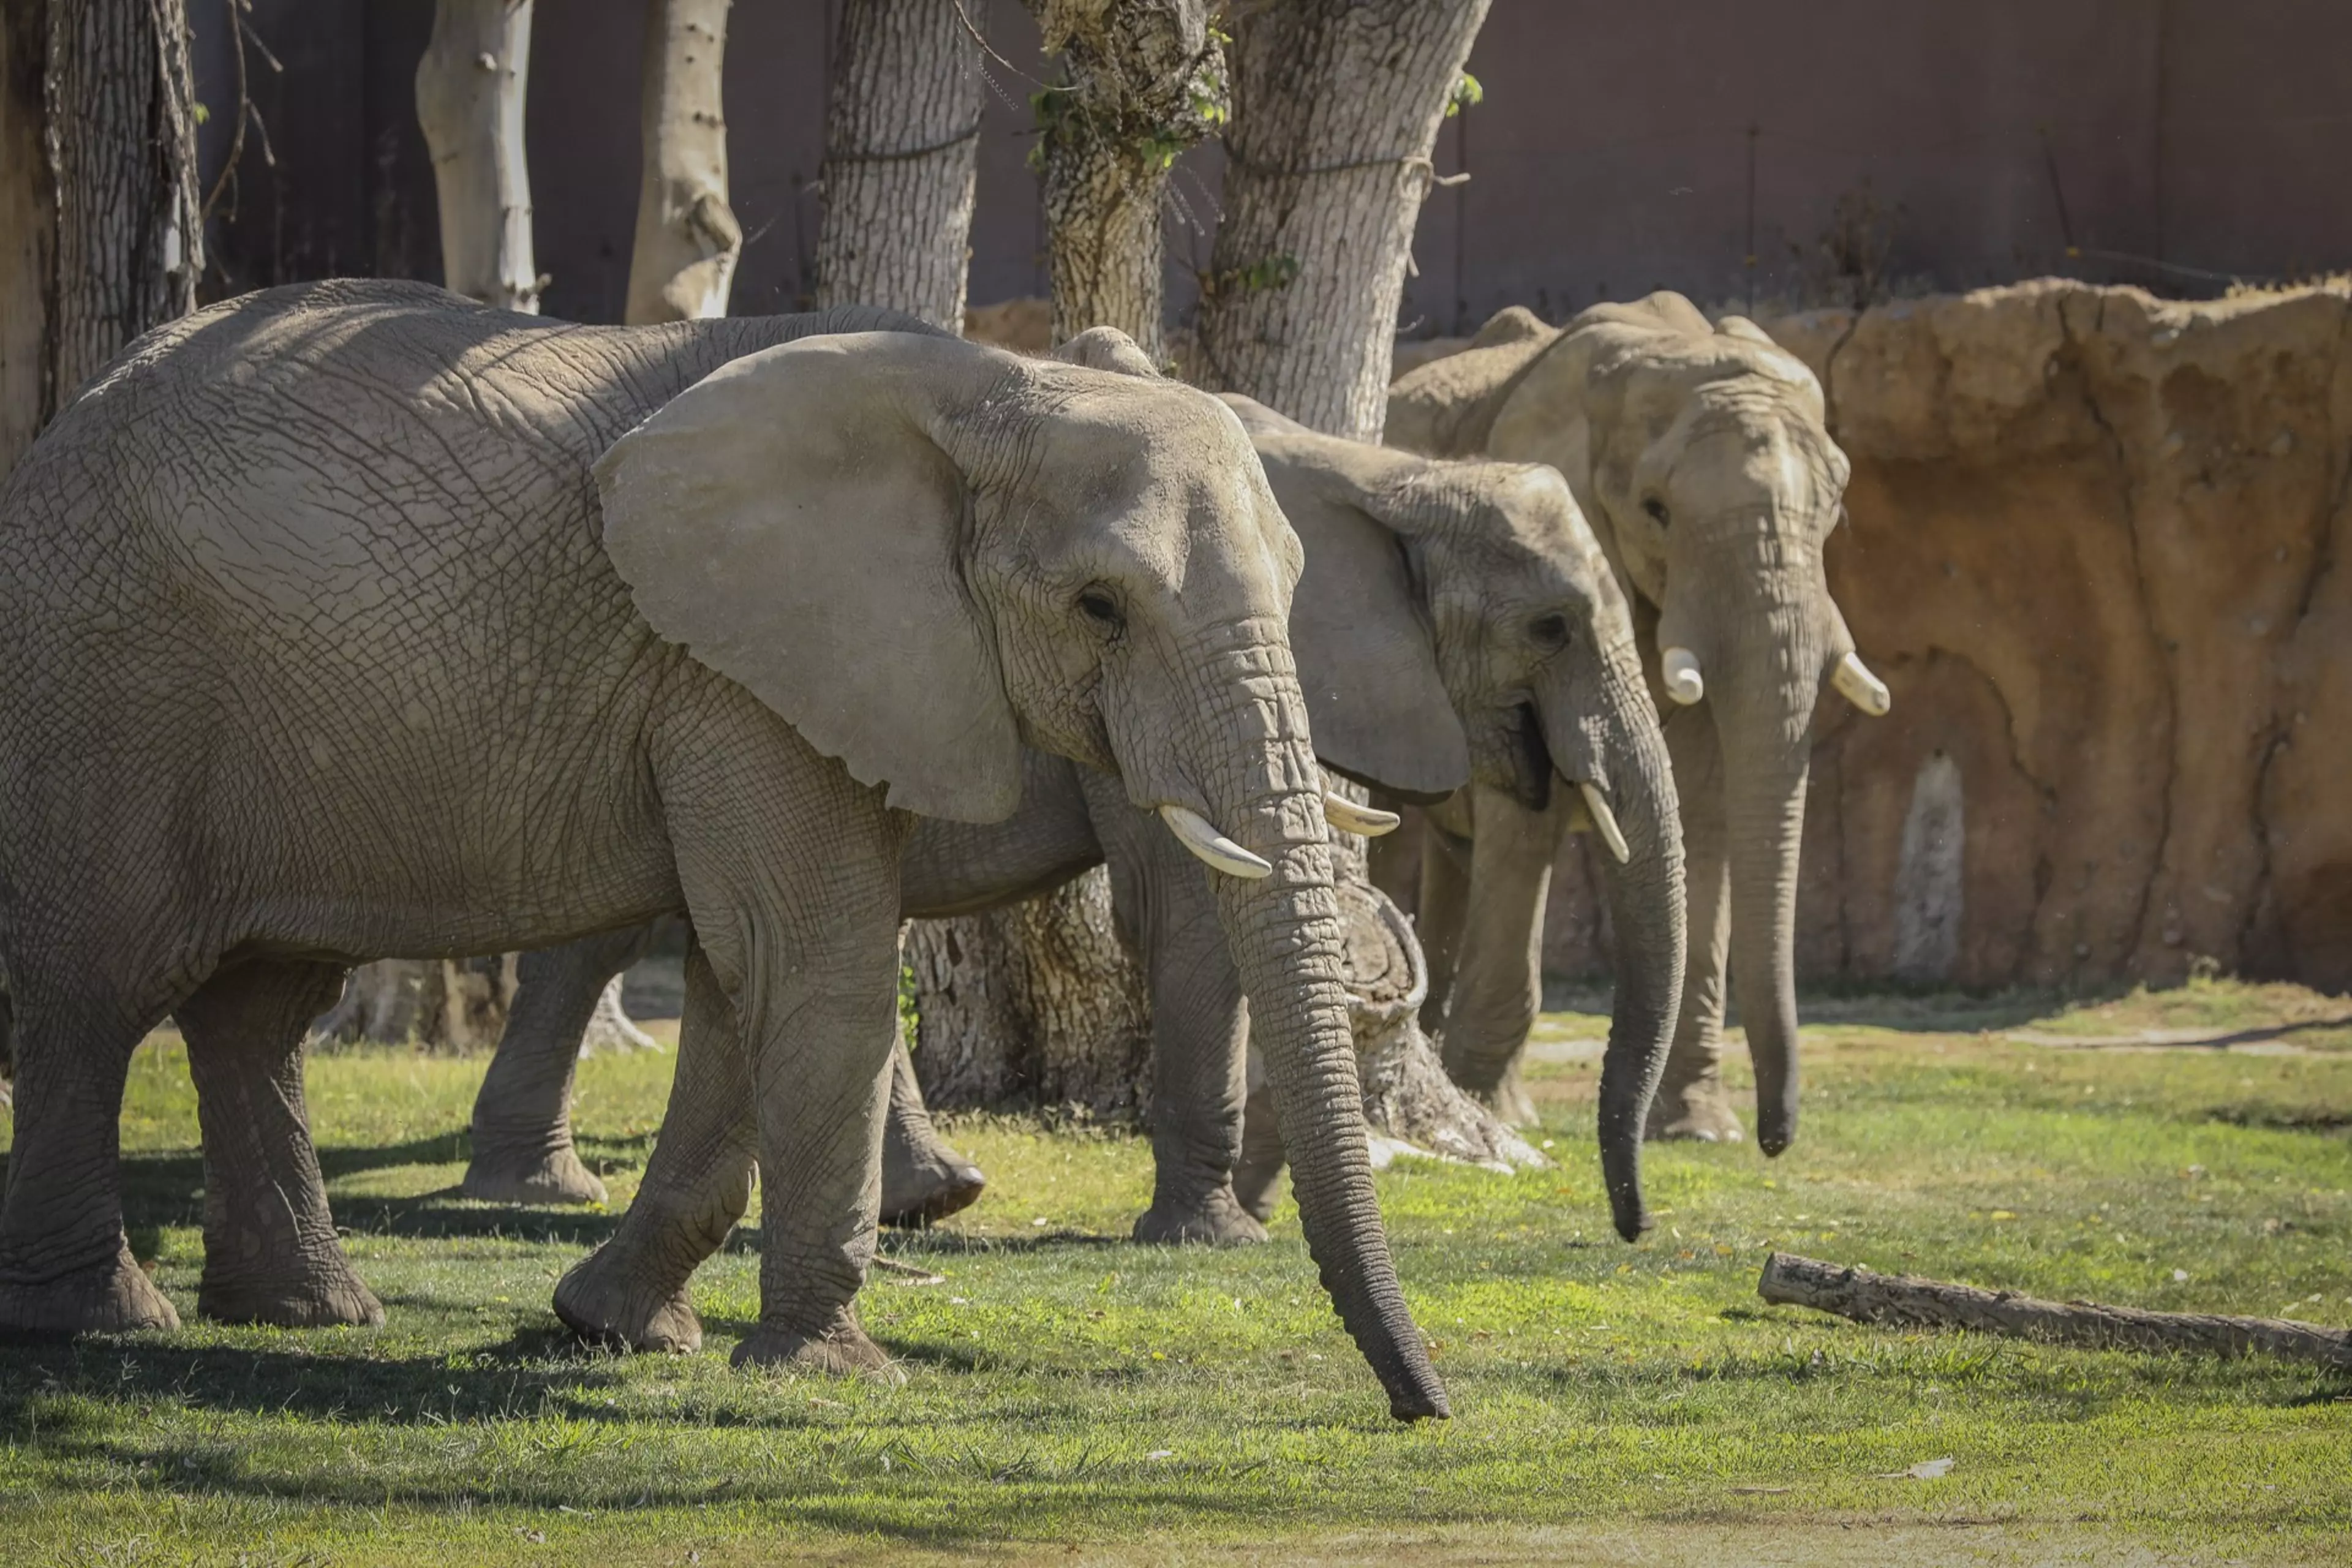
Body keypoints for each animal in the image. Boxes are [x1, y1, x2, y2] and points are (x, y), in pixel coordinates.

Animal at [0, 280, 1451, 1420]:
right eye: (1101, 607)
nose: (1421, 1407)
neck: (989, 389)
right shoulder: (743, 667)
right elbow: (813, 963)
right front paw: (829, 1375)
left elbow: (737, 977)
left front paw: (610, 1329)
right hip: (103, 681)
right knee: (98, 991)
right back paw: (104, 1320)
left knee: (258, 1007)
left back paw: (312, 1313)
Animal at [461, 390, 1687, 1260]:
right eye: (1553, 626)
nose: (1635, 1226)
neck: (1387, 473)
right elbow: (1193, 910)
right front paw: (1220, 1228)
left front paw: (1257, 1201)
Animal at [1388, 294, 1890, 1154]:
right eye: (1657, 512)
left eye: (1833, 511)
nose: (1775, 1138)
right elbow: (1527, 821)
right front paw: (1491, 1117)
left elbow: (1705, 811)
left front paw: (1697, 1131)